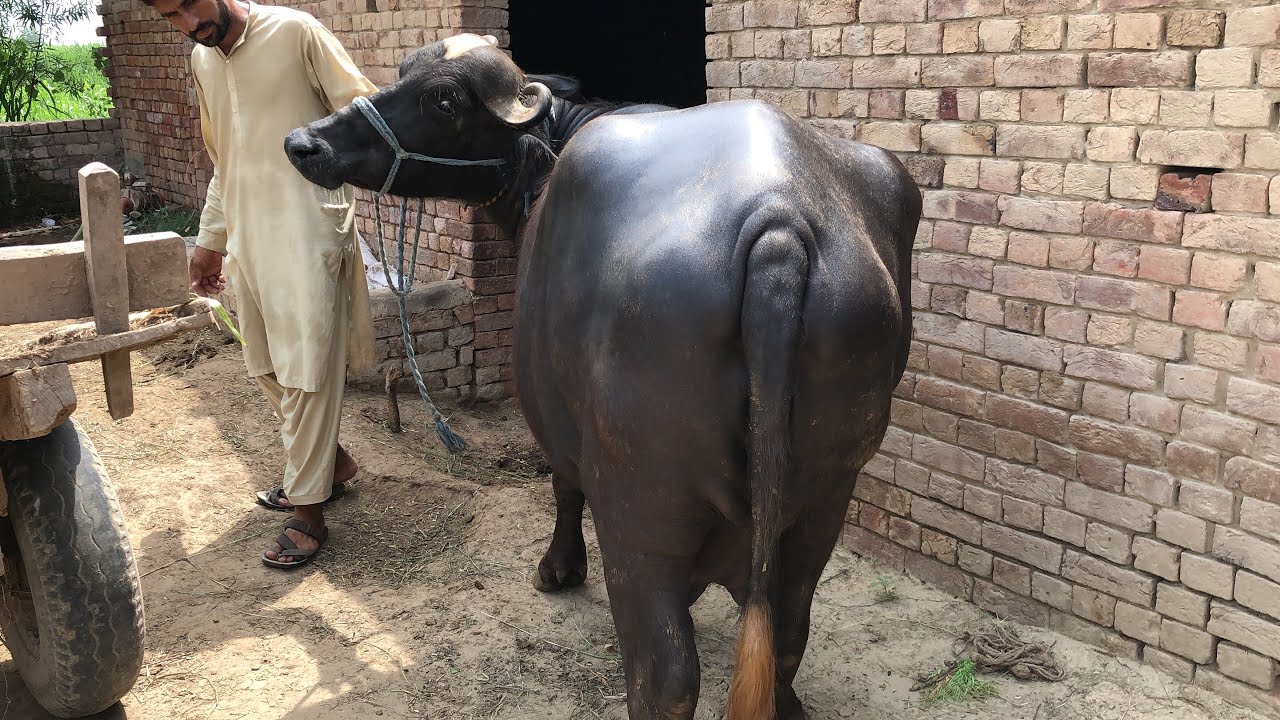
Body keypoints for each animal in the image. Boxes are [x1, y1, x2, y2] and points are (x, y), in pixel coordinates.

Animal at [284, 33, 921, 720]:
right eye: (404, 73)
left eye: (445, 98)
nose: (306, 143)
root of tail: (778, 227)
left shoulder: (552, 412)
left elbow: (564, 486)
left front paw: (557, 569)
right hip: (824, 497)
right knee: (785, 636)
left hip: (640, 503)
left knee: (667, 674)